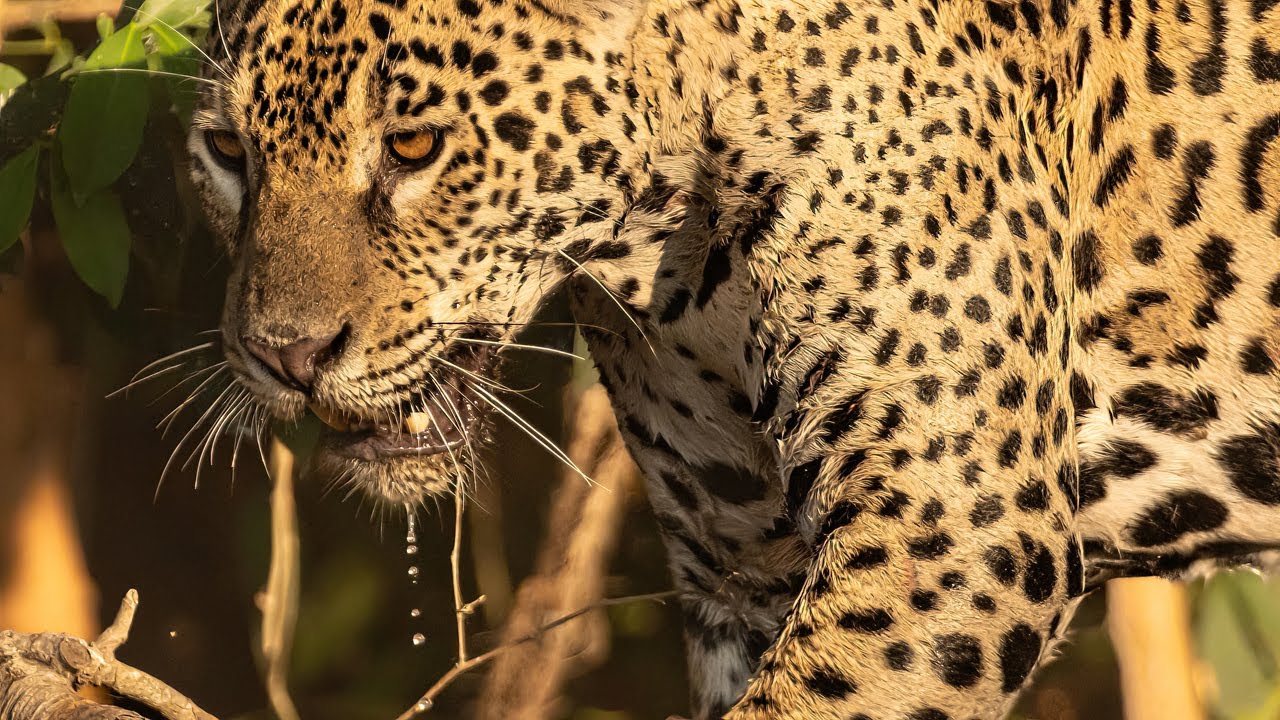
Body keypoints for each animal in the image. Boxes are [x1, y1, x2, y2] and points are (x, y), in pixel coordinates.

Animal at [185, 0, 1280, 716]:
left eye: (413, 146)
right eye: (227, 153)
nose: (284, 356)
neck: (667, 270)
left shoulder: (952, 533)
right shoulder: (748, 566)